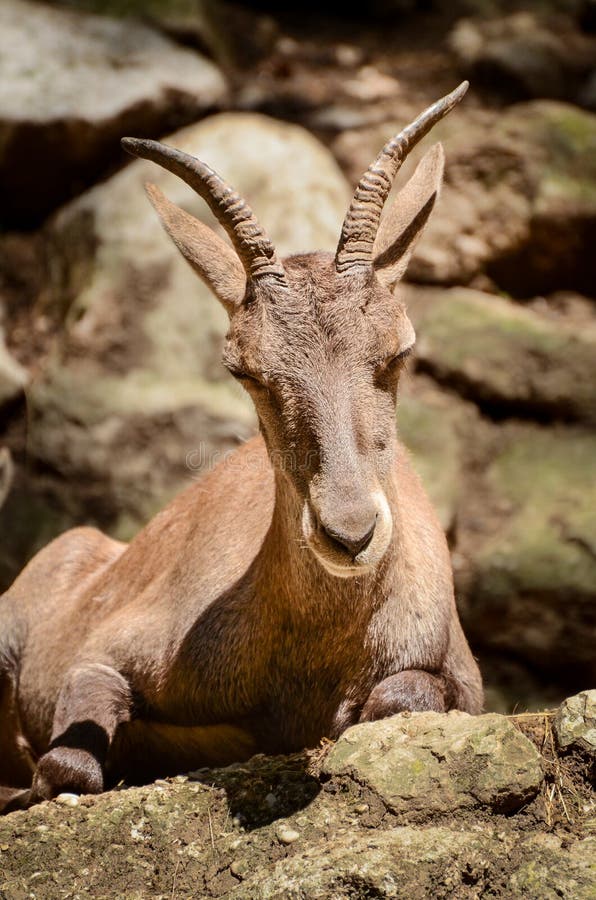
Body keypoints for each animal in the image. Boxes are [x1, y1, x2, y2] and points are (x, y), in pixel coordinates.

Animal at [0, 83, 482, 814]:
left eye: (400, 349)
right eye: (246, 370)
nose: (349, 533)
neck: (309, 654)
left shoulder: (452, 674)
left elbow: (402, 698)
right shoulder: (111, 646)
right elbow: (72, 759)